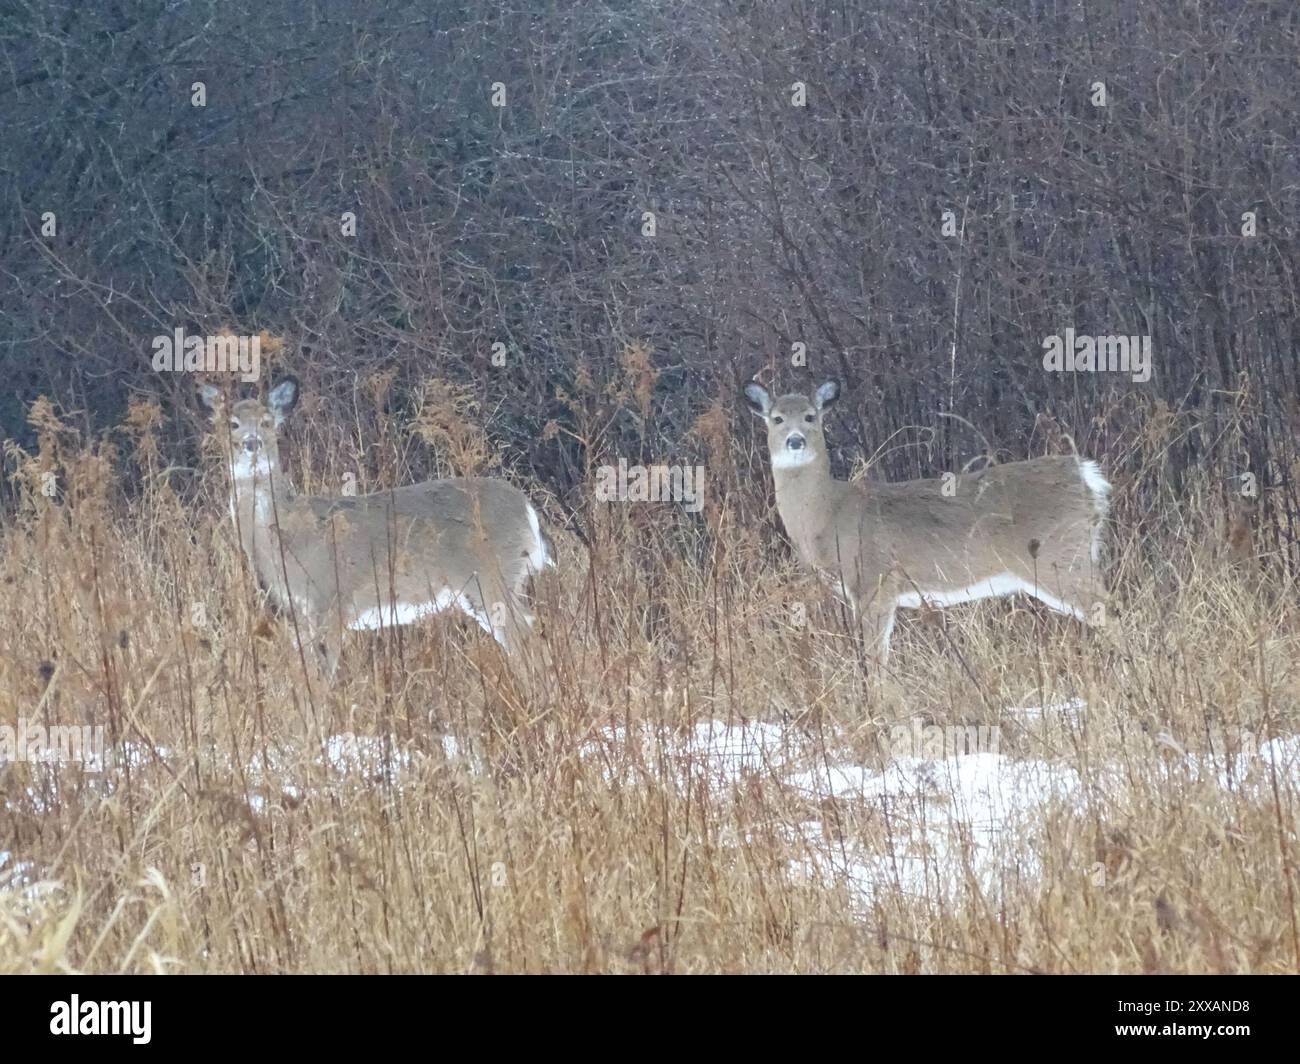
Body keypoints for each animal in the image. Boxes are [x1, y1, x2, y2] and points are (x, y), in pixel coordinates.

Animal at [198, 377, 554, 676]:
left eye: (267, 422)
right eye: (231, 424)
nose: (252, 444)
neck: (286, 534)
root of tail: (527, 512)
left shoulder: (331, 599)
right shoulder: (301, 614)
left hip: (493, 577)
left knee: (527, 639)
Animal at [743, 379, 1110, 666]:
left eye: (810, 416)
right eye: (776, 419)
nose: (795, 440)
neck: (828, 514)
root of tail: (1088, 478)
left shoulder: (876, 581)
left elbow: (875, 659)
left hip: (1060, 556)